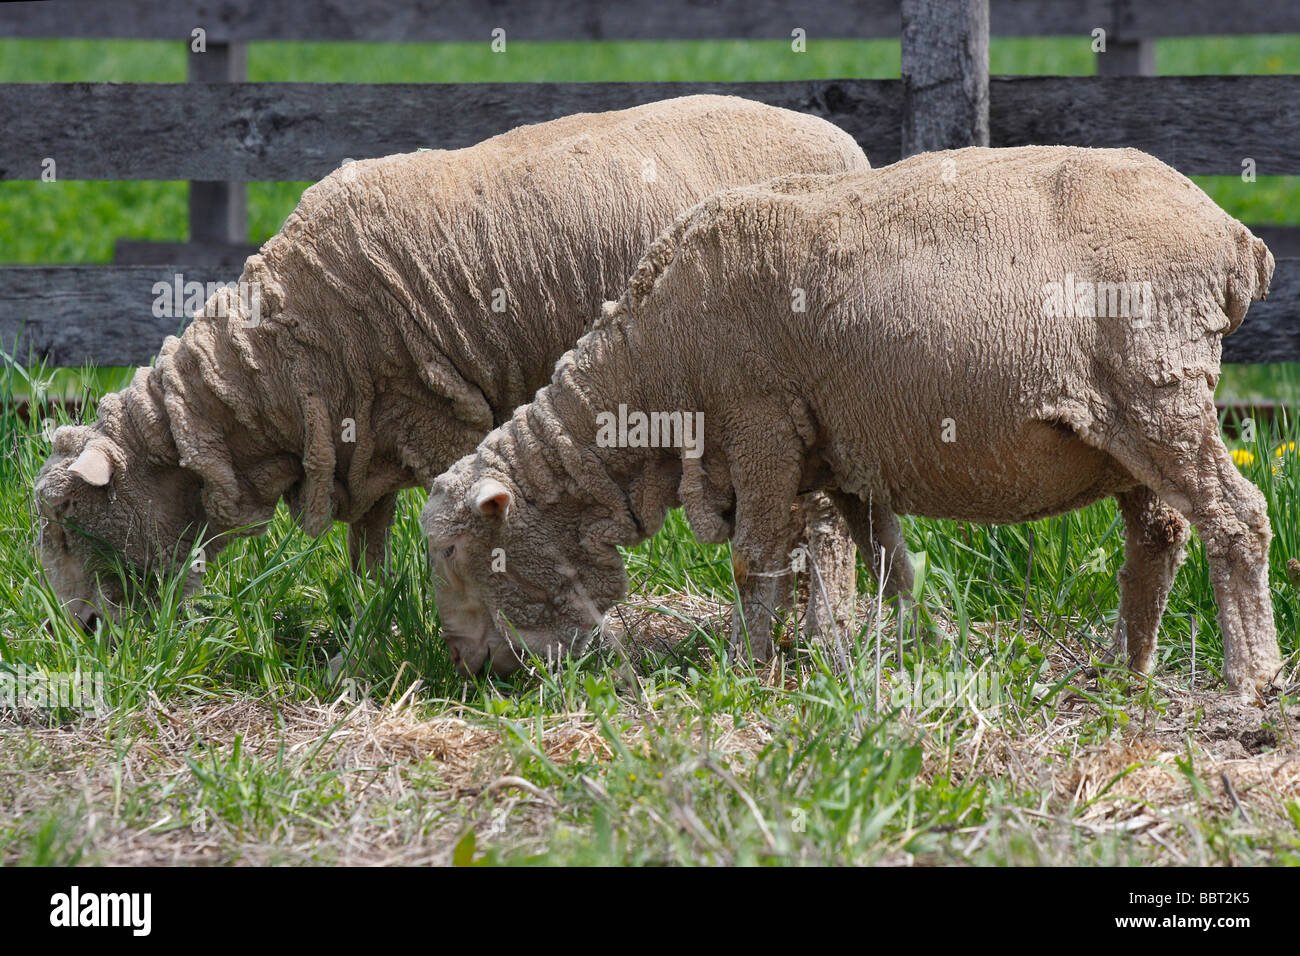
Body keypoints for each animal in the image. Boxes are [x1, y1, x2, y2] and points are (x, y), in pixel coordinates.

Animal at [33, 95, 869, 633]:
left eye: (71, 524)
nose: (86, 634)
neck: (267, 375)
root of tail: (845, 145)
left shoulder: (436, 415)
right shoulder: (359, 431)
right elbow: (366, 539)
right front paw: (365, 617)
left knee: (825, 522)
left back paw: (825, 638)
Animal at [421, 145, 1285, 696]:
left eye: (460, 553)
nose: (470, 670)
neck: (654, 371)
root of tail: (1233, 238)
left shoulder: (760, 421)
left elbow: (756, 556)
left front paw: (747, 668)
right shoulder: (839, 451)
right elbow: (884, 558)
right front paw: (905, 648)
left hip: (1158, 388)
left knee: (1236, 518)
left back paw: (1250, 678)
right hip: (1128, 423)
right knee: (1161, 534)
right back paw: (1124, 671)